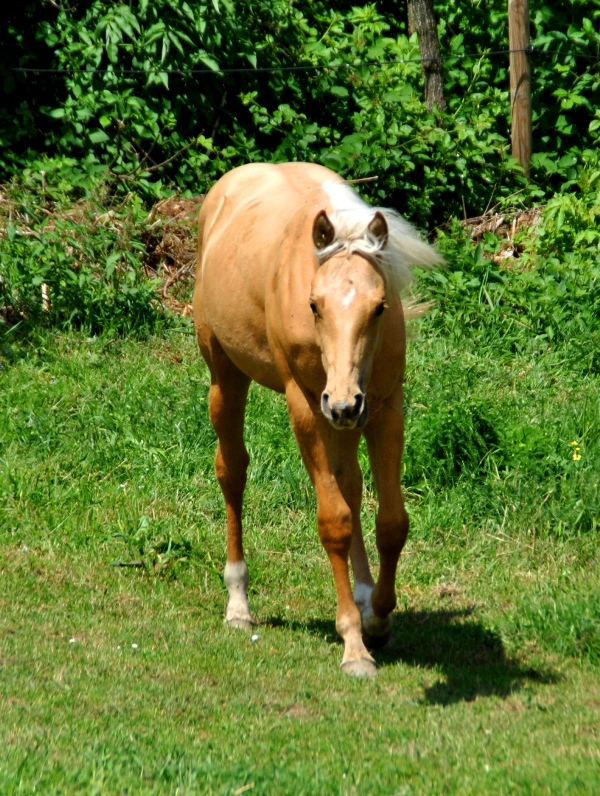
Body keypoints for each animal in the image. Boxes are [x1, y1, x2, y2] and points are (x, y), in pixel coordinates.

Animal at [192, 162, 440, 677]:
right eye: (313, 305)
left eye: (380, 306)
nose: (343, 402)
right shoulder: (306, 407)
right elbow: (334, 522)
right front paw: (353, 644)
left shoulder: (385, 406)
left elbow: (391, 521)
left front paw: (378, 619)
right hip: (226, 378)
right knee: (232, 471)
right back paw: (238, 603)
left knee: (351, 484)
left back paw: (364, 597)